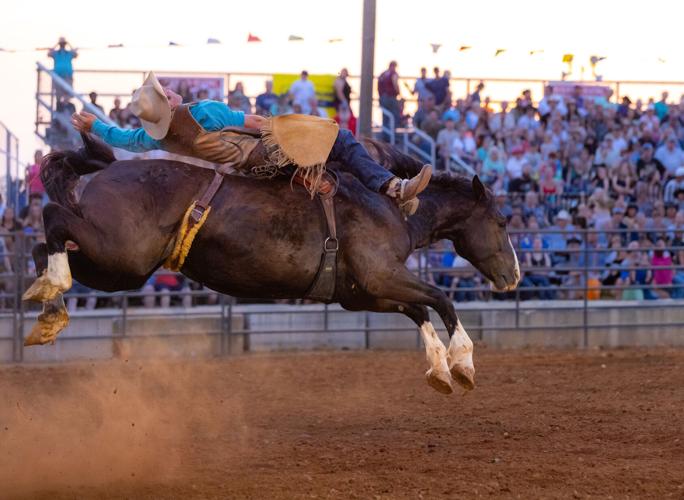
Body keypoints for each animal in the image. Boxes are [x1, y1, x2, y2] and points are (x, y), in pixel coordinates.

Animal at [23, 134, 519, 394]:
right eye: (501, 221)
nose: (513, 276)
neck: (392, 205)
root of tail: (105, 170)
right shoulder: (382, 275)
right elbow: (441, 299)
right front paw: (463, 363)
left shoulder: (363, 293)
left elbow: (419, 309)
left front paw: (438, 368)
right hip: (121, 255)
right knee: (51, 217)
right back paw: (53, 285)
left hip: (112, 265)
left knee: (45, 246)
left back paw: (47, 307)